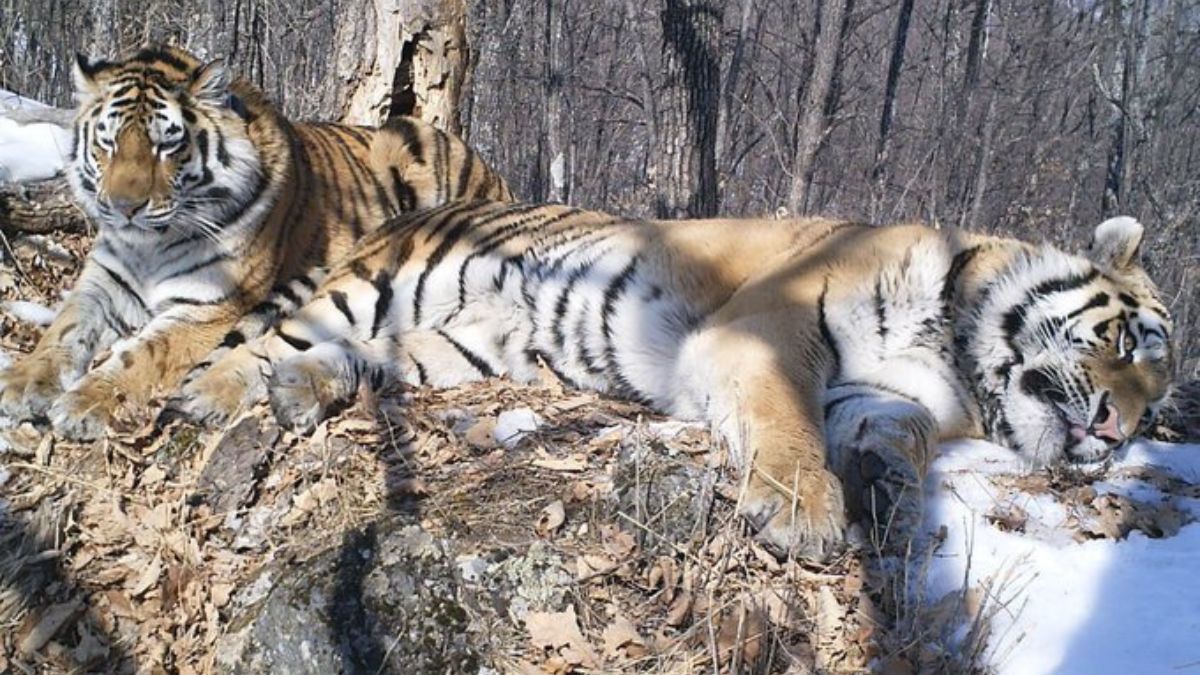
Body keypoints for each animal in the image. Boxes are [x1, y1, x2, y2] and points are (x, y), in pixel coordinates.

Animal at [0, 46, 513, 440]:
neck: (148, 245)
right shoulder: (102, 284)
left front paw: (84, 402)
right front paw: (21, 383)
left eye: (167, 145)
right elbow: (62, 330)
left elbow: (139, 357)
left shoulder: (207, 308)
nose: (124, 207)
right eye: (107, 142)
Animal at [166, 201, 1175, 561]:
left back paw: (303, 390)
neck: (957, 351)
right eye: (1129, 343)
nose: (1119, 431)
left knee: (358, 360)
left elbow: (897, 436)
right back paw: (212, 395)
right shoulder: (767, 330)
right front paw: (804, 513)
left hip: (457, 348)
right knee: (262, 339)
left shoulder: (886, 394)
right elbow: (787, 424)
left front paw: (886, 492)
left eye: (1159, 401)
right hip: (381, 285)